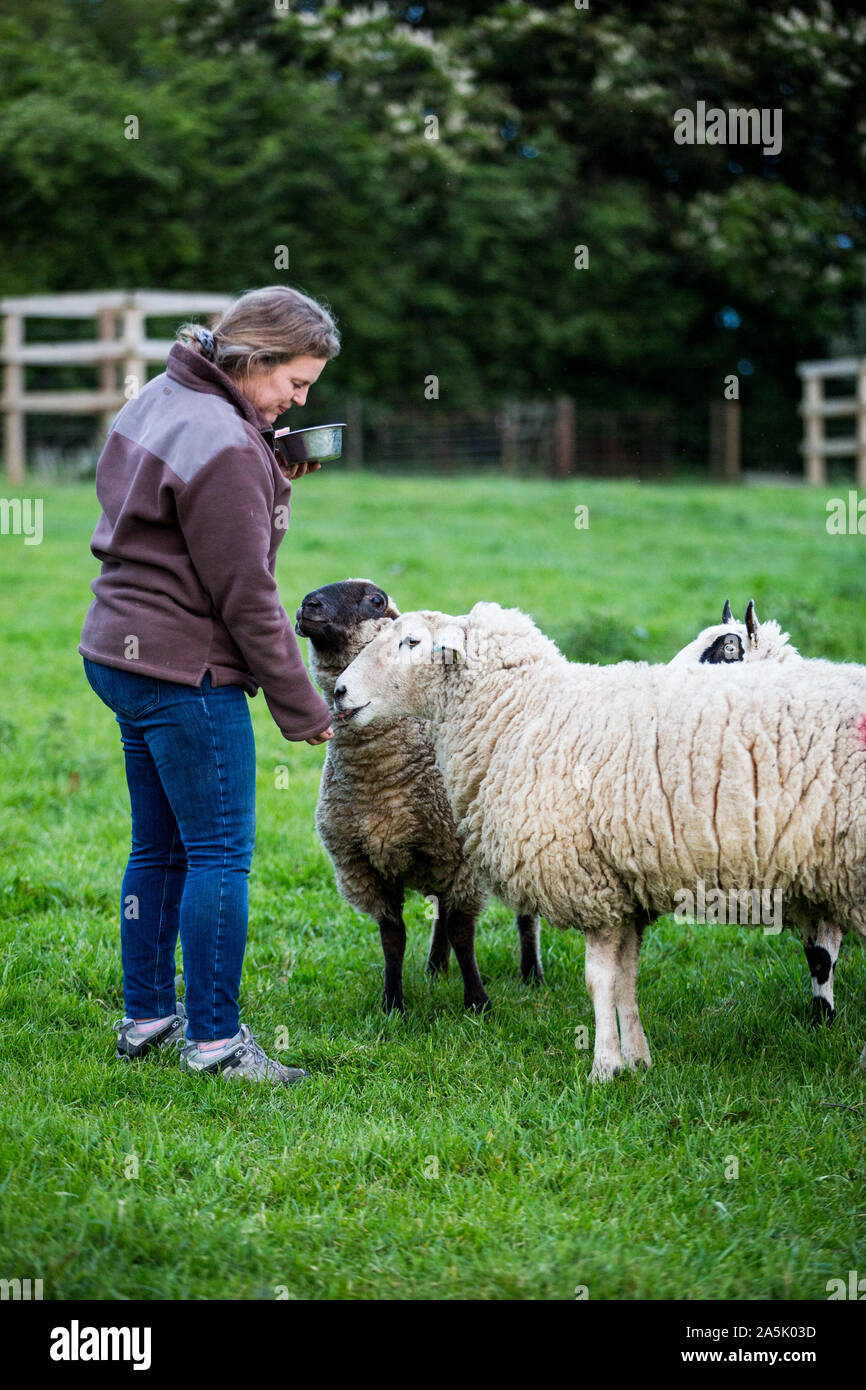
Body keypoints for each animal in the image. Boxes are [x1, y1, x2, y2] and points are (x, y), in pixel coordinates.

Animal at [293, 579, 543, 1015]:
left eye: (375, 600)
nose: (309, 605)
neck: (381, 775)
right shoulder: (364, 868)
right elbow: (393, 939)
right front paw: (393, 1003)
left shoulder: (459, 860)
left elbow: (463, 933)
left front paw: (477, 1002)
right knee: (440, 912)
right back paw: (435, 967)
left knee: (523, 914)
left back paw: (532, 973)